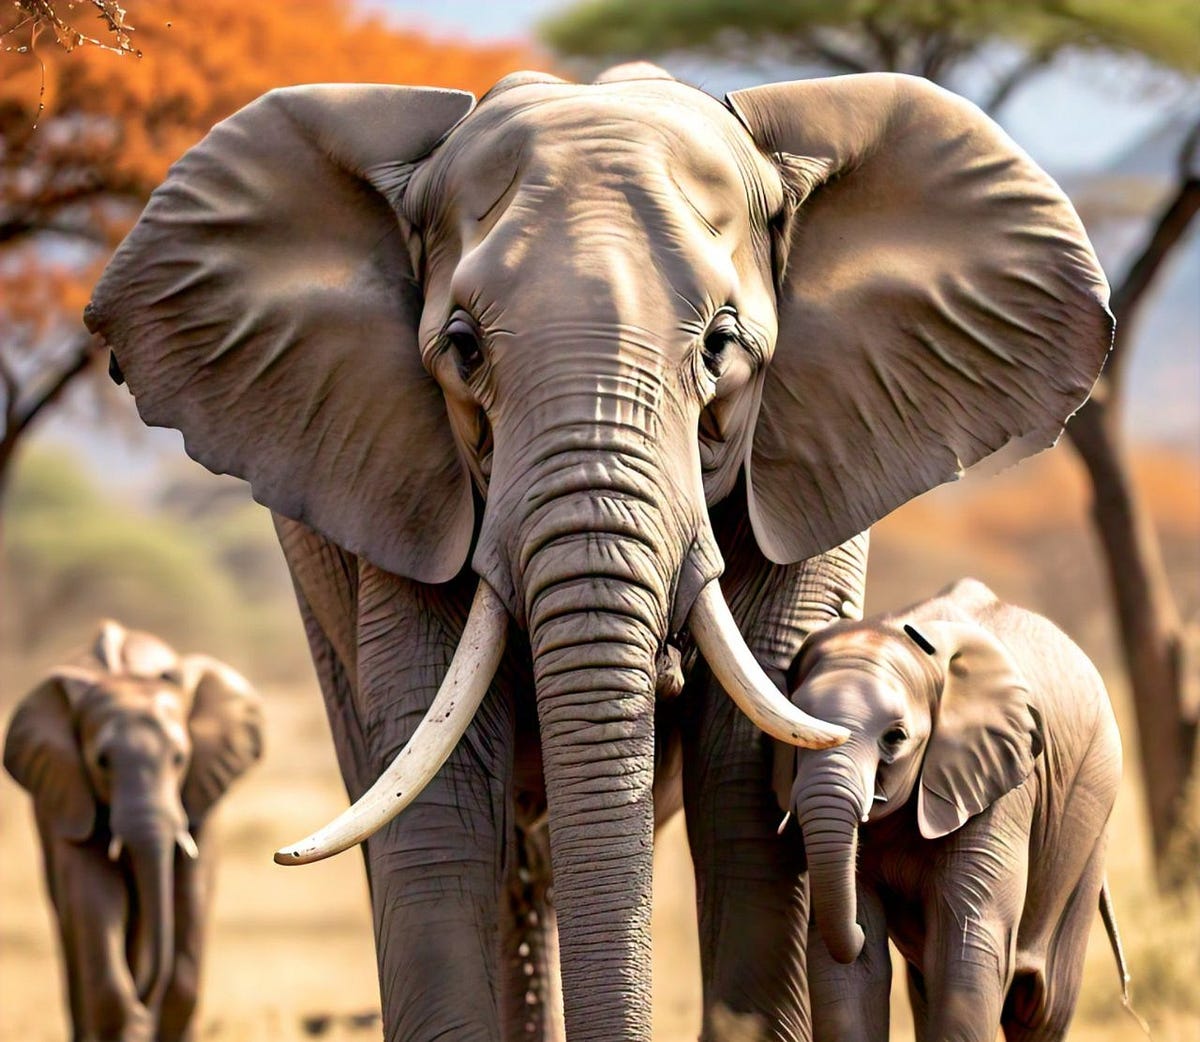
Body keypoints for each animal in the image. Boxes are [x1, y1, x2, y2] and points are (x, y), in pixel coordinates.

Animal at [3, 620, 263, 1042]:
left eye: (180, 758)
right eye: (101, 762)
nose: (143, 1006)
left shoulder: (197, 796)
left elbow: (188, 894)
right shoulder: (71, 789)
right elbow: (91, 895)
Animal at [784, 578, 1127, 1042]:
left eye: (895, 737)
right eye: (792, 731)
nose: (853, 927)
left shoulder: (999, 785)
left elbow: (967, 948)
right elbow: (851, 969)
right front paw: (859, 930)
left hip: (1092, 809)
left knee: (1043, 1002)